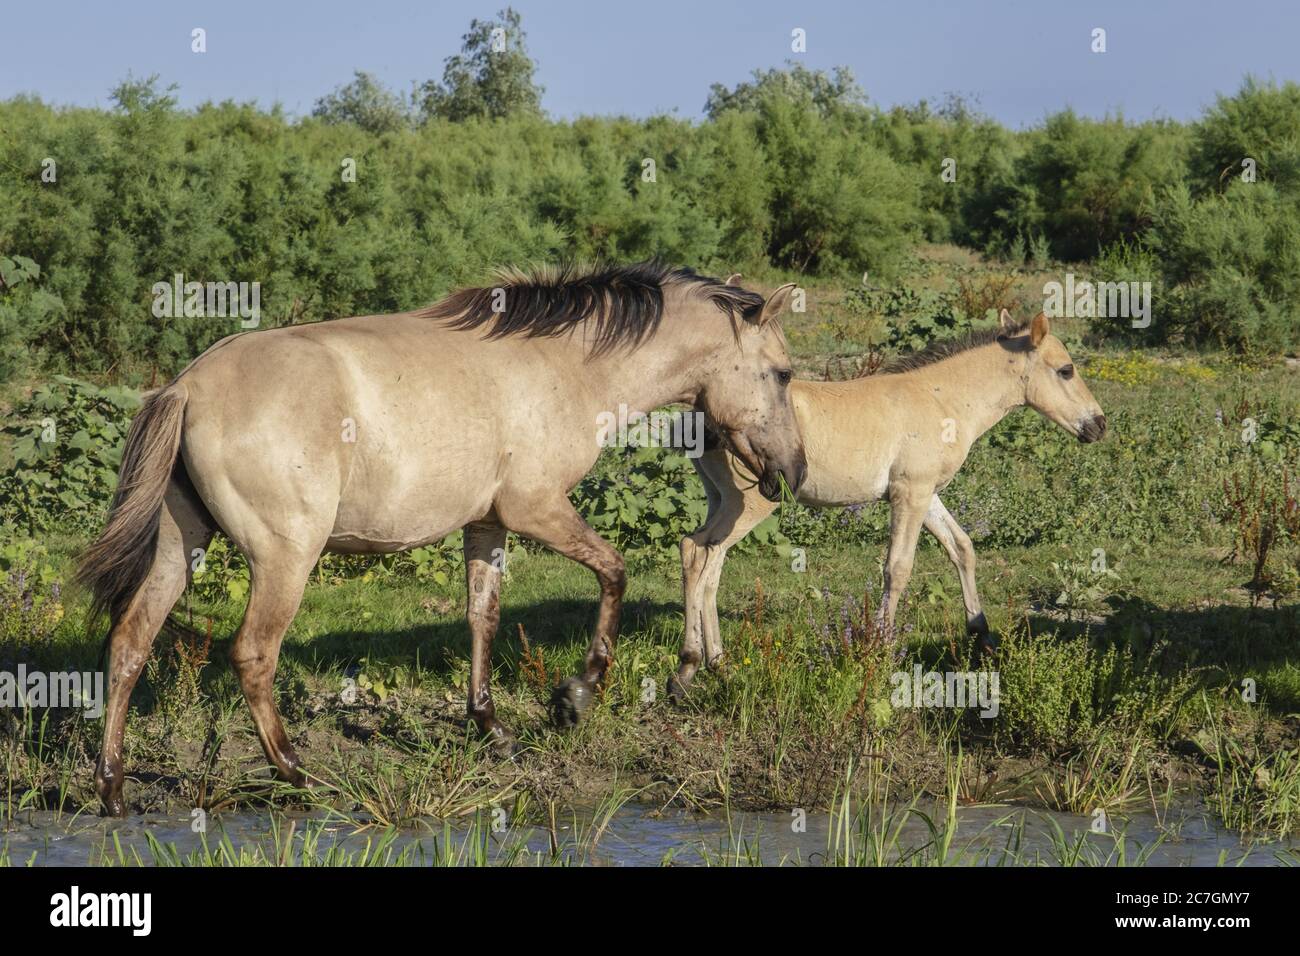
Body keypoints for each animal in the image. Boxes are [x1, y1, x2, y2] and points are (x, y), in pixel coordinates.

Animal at [78, 261, 808, 816]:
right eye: (781, 374)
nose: (793, 472)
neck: (565, 363)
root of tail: (186, 386)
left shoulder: (488, 524)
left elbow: (482, 617)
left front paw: (492, 728)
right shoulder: (536, 509)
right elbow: (614, 572)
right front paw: (576, 694)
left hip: (182, 543)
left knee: (130, 642)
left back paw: (113, 789)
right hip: (286, 557)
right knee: (254, 654)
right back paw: (296, 774)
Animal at [671, 308, 1105, 699]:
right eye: (1066, 370)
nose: (1099, 425)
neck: (942, 400)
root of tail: (700, 416)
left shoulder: (927, 493)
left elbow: (962, 548)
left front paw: (982, 639)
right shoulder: (909, 493)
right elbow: (897, 567)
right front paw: (876, 648)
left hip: (722, 500)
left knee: (710, 564)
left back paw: (719, 664)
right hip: (749, 504)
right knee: (696, 551)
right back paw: (688, 669)